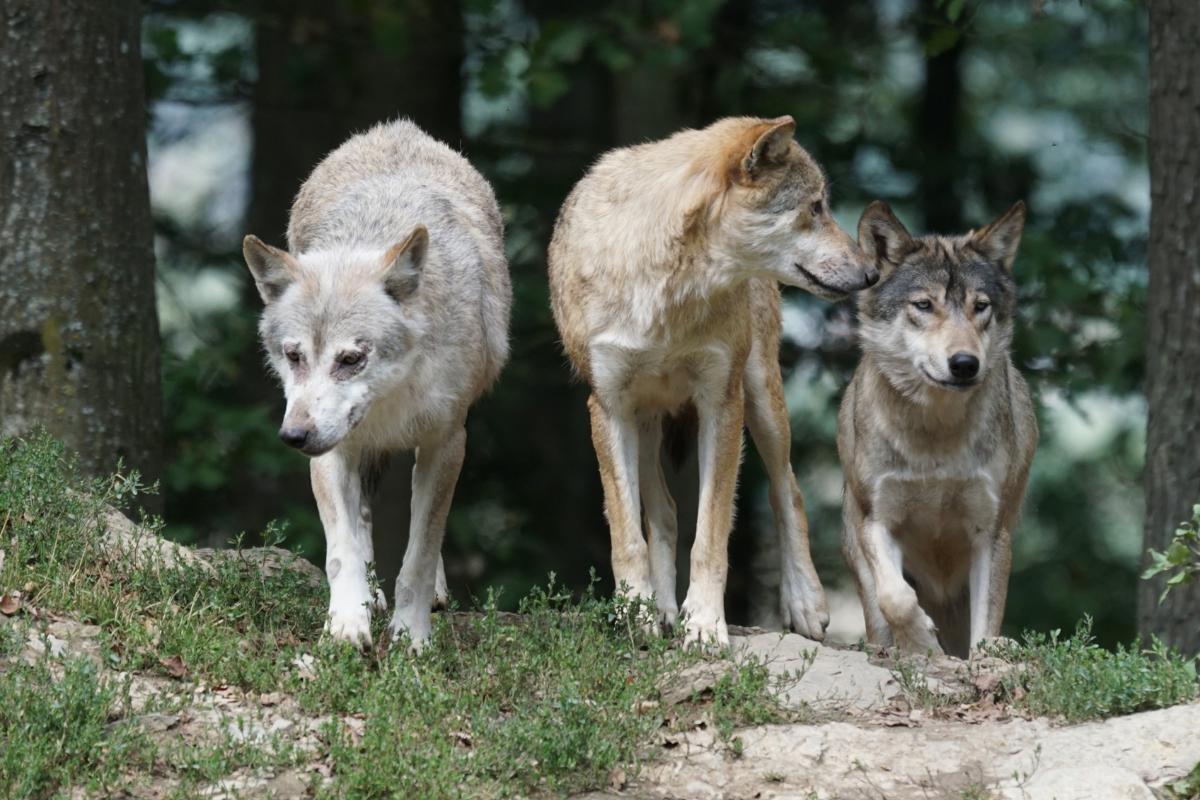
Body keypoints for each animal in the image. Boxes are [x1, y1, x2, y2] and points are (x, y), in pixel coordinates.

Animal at [242, 119, 511, 649]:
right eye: (294, 356)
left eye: (351, 359)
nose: (293, 436)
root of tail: (396, 128)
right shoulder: (331, 451)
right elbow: (341, 550)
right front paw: (347, 624)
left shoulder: (447, 442)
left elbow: (420, 554)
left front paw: (412, 637)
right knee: (363, 517)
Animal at [548, 116, 879, 646]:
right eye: (815, 207)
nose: (871, 273)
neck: (668, 290)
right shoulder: (608, 407)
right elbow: (627, 534)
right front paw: (636, 614)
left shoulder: (721, 403)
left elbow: (711, 535)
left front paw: (703, 625)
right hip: (645, 421)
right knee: (662, 512)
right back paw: (661, 611)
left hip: (762, 399)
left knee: (788, 490)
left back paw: (805, 603)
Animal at [838, 201, 1037, 657]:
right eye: (924, 305)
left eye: (980, 306)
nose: (964, 364)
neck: (935, 437)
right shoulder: (877, 519)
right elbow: (895, 598)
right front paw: (922, 643)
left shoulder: (990, 532)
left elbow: (987, 626)